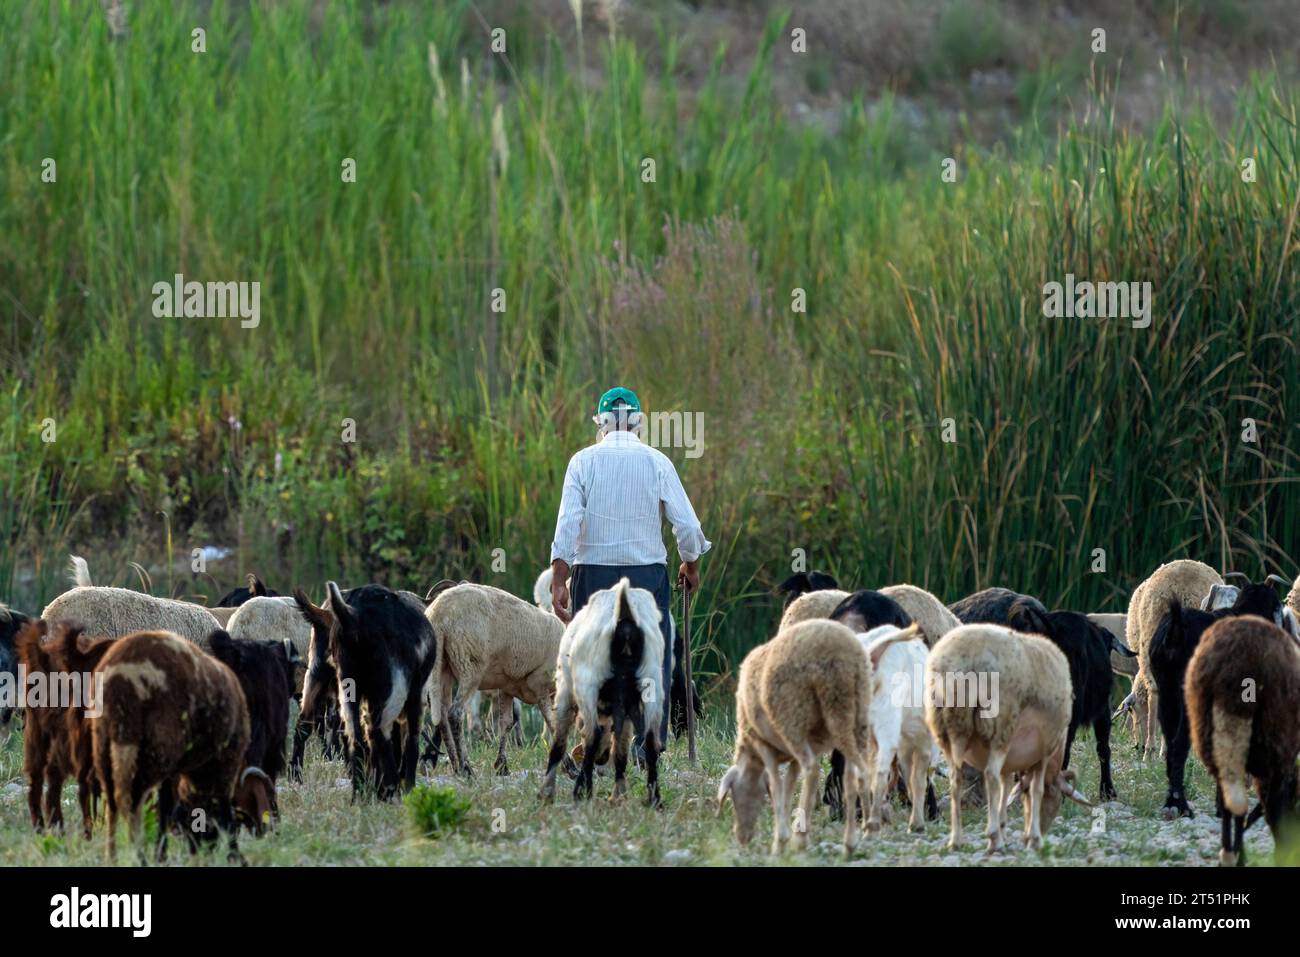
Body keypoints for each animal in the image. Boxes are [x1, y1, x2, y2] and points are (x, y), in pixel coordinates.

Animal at [92, 630, 250, 860]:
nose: (201, 848)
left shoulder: (174, 771)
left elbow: (166, 805)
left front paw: (161, 853)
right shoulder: (226, 761)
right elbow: (224, 811)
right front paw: (235, 855)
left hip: (105, 744)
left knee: (113, 801)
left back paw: (112, 857)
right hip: (157, 747)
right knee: (131, 799)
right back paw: (138, 857)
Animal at [425, 582, 563, 775]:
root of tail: (438, 613)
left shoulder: (508, 686)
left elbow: (506, 723)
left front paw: (502, 765)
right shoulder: (541, 684)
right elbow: (553, 723)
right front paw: (569, 765)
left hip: (443, 666)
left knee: (443, 714)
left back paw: (456, 766)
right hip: (469, 664)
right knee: (455, 713)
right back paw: (466, 767)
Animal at [540, 578, 664, 806]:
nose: (602, 758)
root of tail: (624, 616)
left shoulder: (565, 693)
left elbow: (559, 744)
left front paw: (546, 792)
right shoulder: (625, 712)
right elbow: (621, 751)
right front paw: (618, 795)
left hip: (587, 684)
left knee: (593, 734)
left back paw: (582, 790)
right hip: (653, 686)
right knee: (651, 741)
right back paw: (654, 799)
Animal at [716, 618, 870, 855]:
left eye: (733, 797)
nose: (742, 838)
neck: (751, 756)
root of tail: (839, 648)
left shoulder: (766, 747)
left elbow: (777, 788)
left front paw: (780, 841)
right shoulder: (793, 755)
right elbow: (787, 787)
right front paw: (783, 836)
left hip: (793, 716)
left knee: (813, 769)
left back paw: (801, 839)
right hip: (854, 715)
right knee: (856, 774)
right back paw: (855, 838)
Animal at [925, 623, 1091, 851]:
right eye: (1055, 799)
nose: (1044, 830)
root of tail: (967, 659)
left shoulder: (1013, 760)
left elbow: (1006, 790)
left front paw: (1005, 828)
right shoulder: (1043, 753)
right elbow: (1035, 790)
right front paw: (1034, 838)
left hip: (948, 729)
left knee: (956, 779)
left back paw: (956, 839)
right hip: (1000, 725)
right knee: (990, 775)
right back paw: (993, 839)